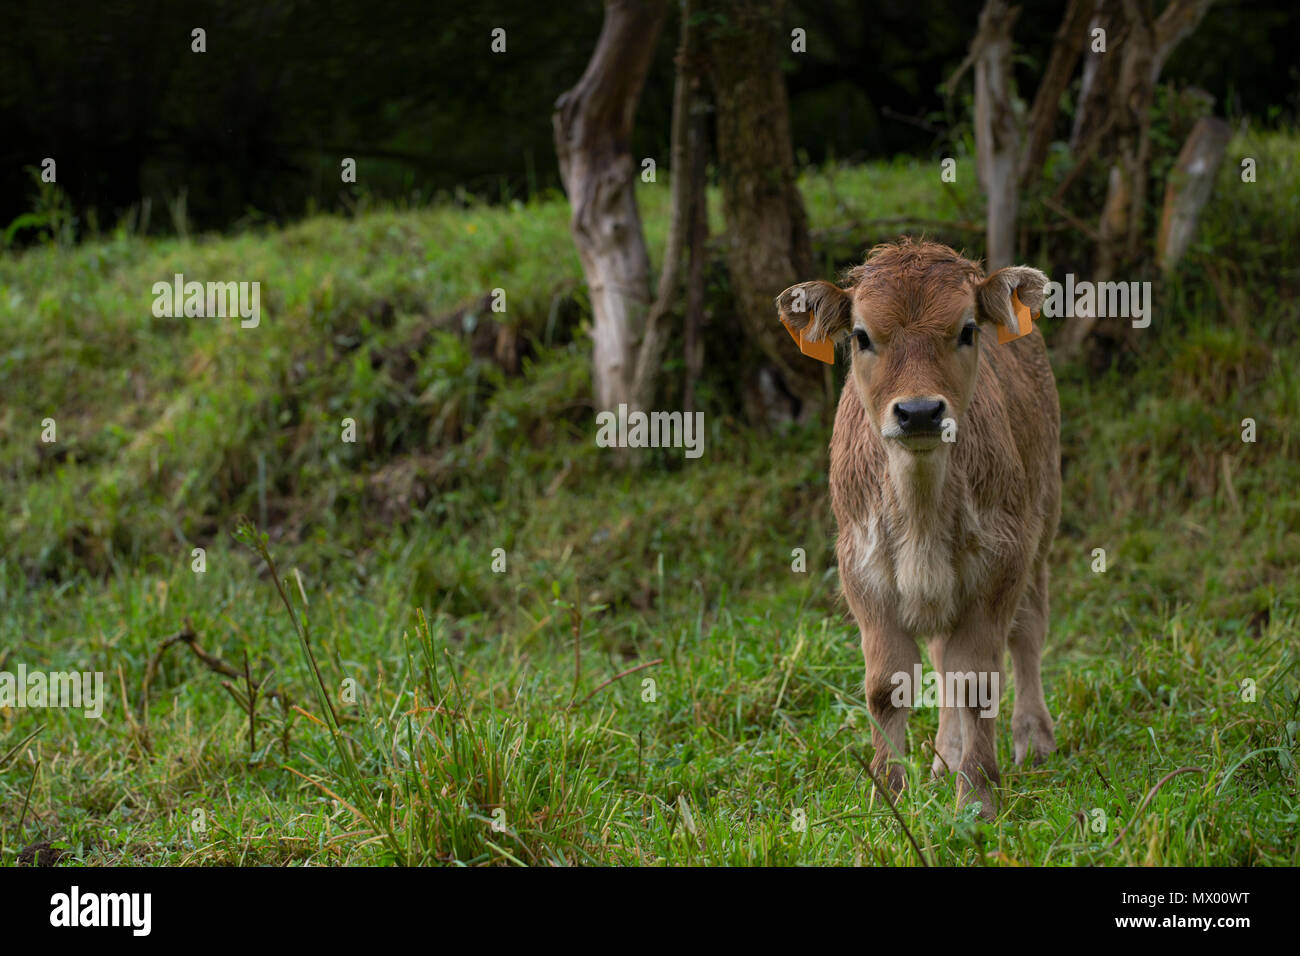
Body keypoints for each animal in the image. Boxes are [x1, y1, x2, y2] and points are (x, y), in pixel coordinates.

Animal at [775, 238, 1060, 818]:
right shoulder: (865, 577)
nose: (920, 411)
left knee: (1027, 634)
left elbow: (978, 681)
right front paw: (889, 792)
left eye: (967, 329)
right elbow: (889, 686)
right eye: (862, 335)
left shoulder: (1000, 568)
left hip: (1042, 532)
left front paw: (978, 796)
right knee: (943, 660)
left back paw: (1032, 738)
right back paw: (944, 758)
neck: (921, 508)